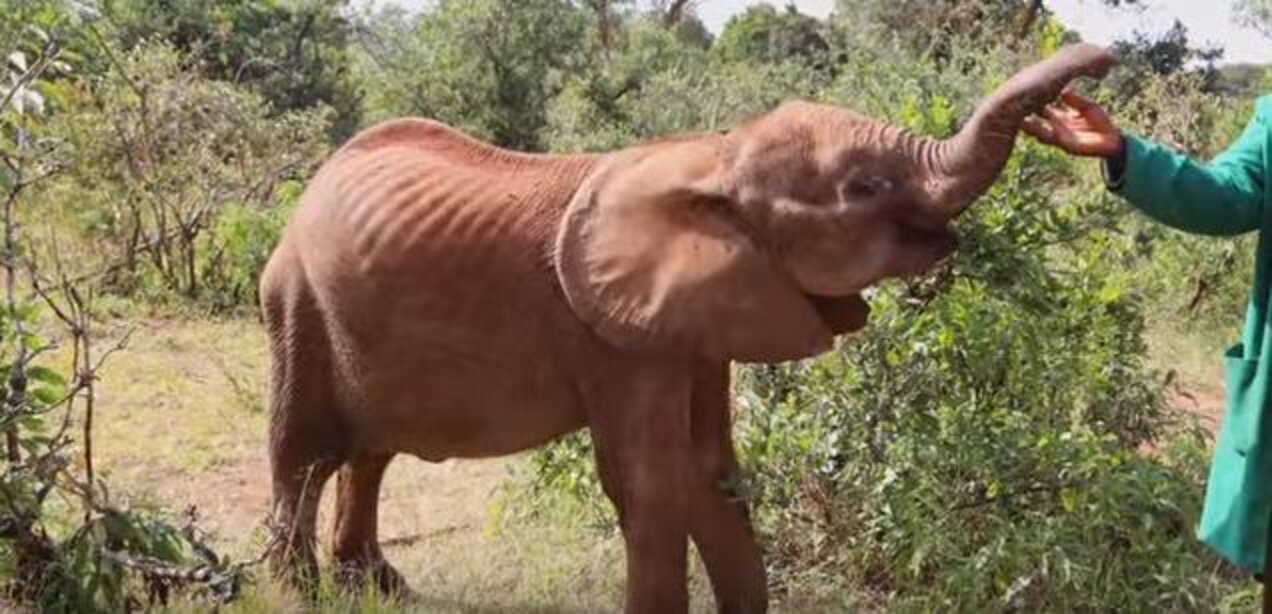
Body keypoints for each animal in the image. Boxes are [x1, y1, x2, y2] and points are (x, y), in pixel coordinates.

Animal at [260, 43, 1114, 613]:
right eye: (864, 188)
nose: (1099, 69)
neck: (716, 158)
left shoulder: (699, 323)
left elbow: (712, 473)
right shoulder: (610, 336)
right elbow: (653, 481)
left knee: (370, 452)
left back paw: (378, 588)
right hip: (297, 299)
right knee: (304, 450)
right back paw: (300, 592)